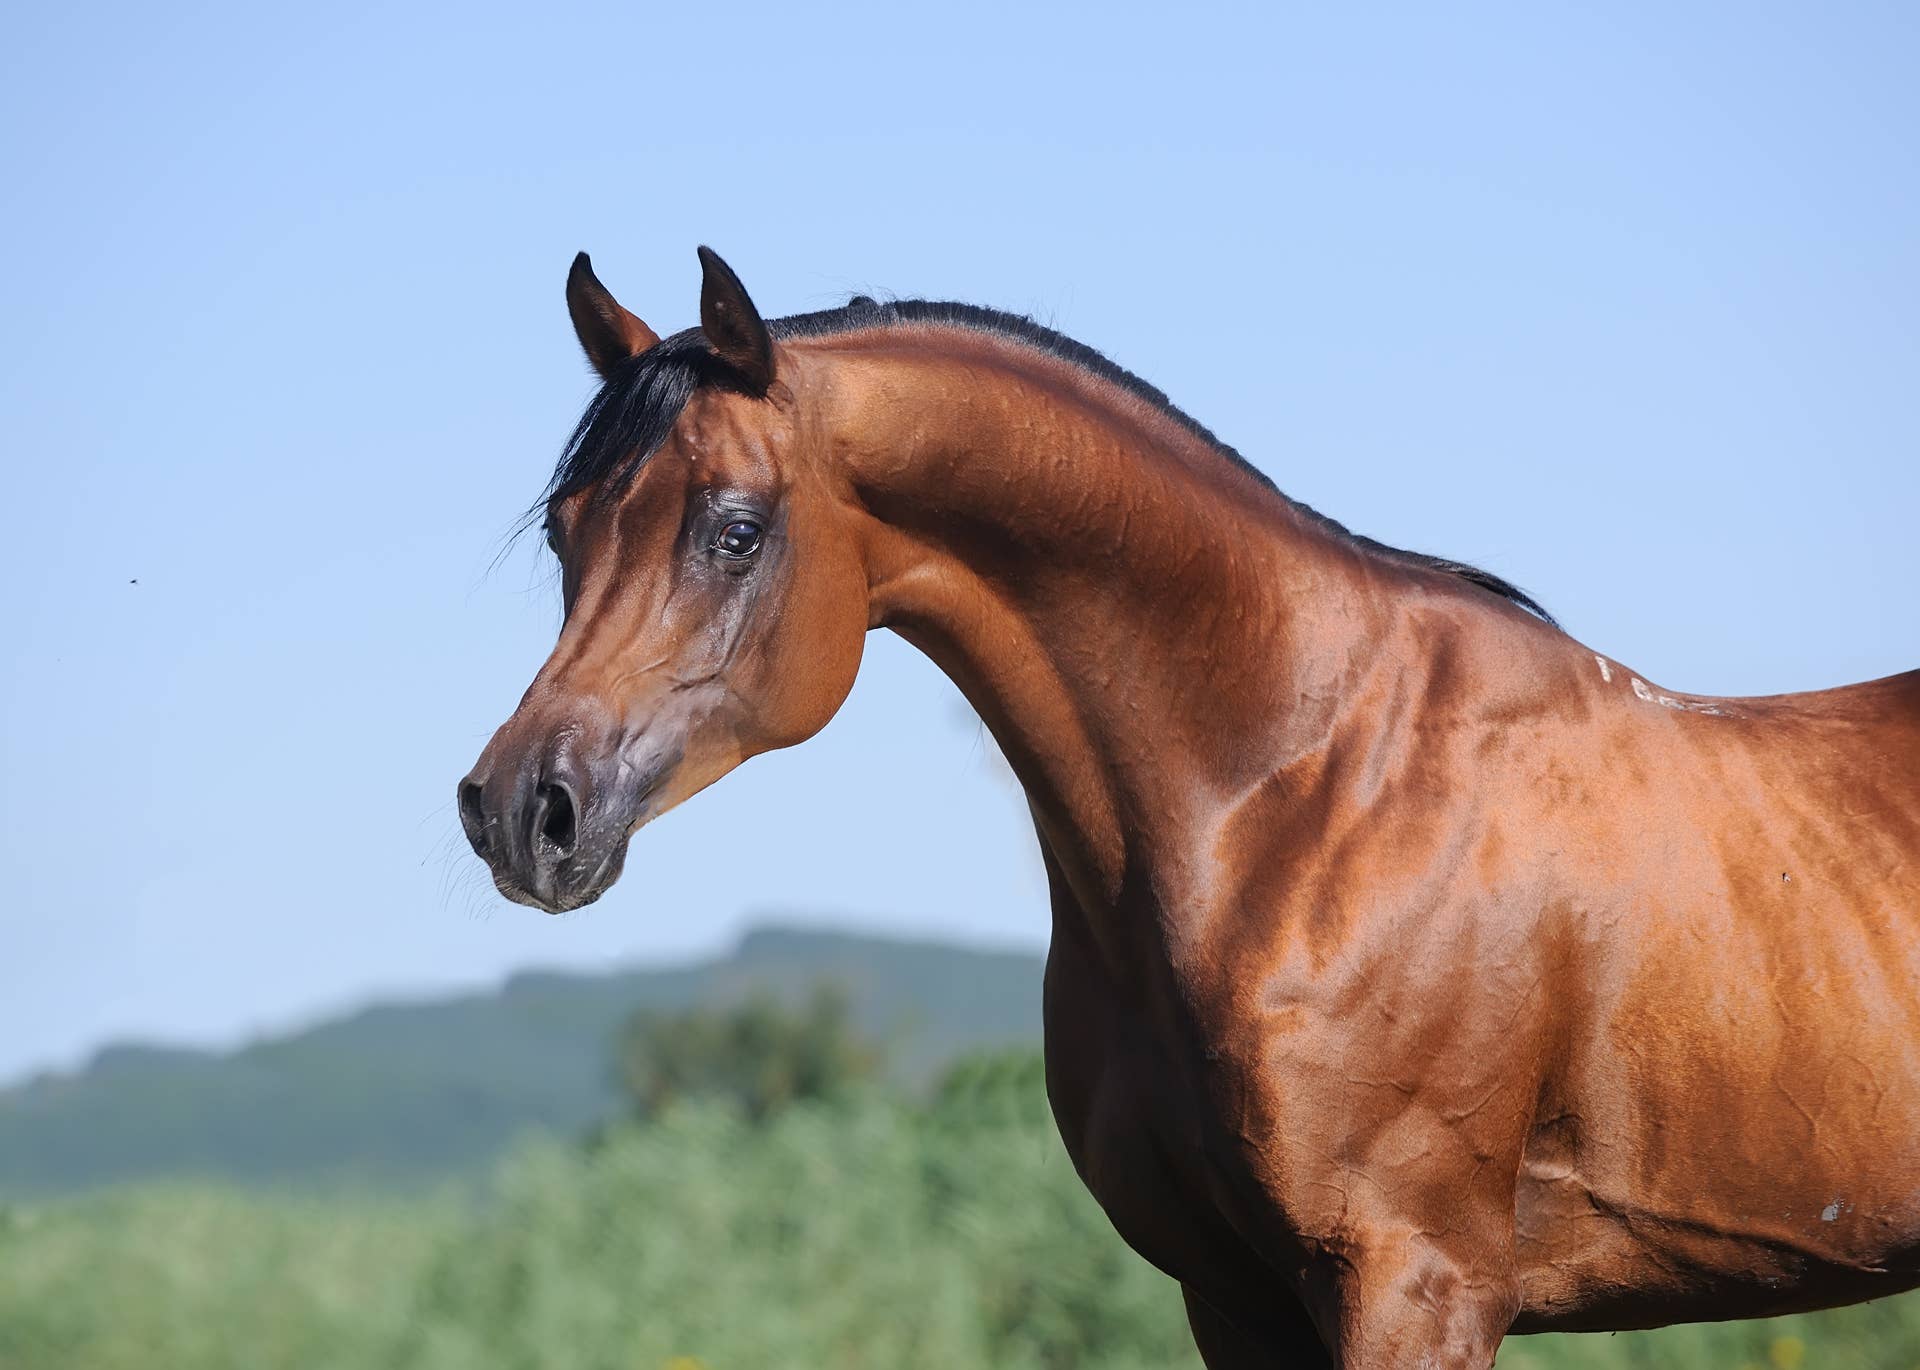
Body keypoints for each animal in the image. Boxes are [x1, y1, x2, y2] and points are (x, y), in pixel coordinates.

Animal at [457, 247, 1920, 1367]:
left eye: (736, 528)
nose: (523, 810)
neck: (1295, 798)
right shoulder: (1234, 1296)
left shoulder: (1419, 1283)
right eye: (566, 529)